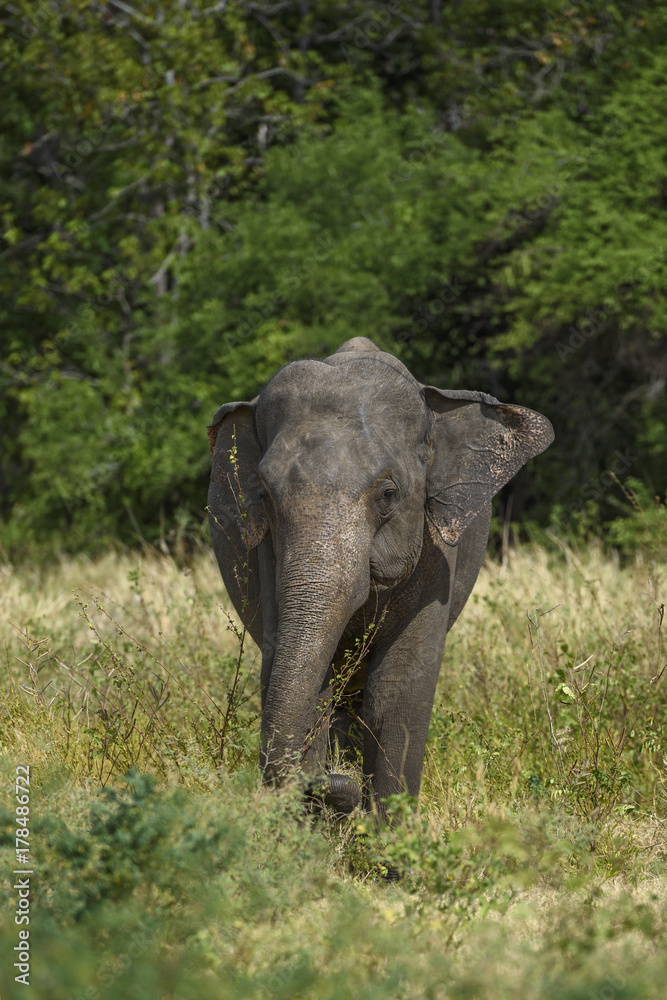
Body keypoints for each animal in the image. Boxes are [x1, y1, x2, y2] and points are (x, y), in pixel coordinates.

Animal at [207, 337, 553, 814]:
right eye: (265, 495)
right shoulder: (268, 557)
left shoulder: (438, 555)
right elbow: (299, 673)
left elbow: (397, 689)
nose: (335, 785)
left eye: (389, 494)